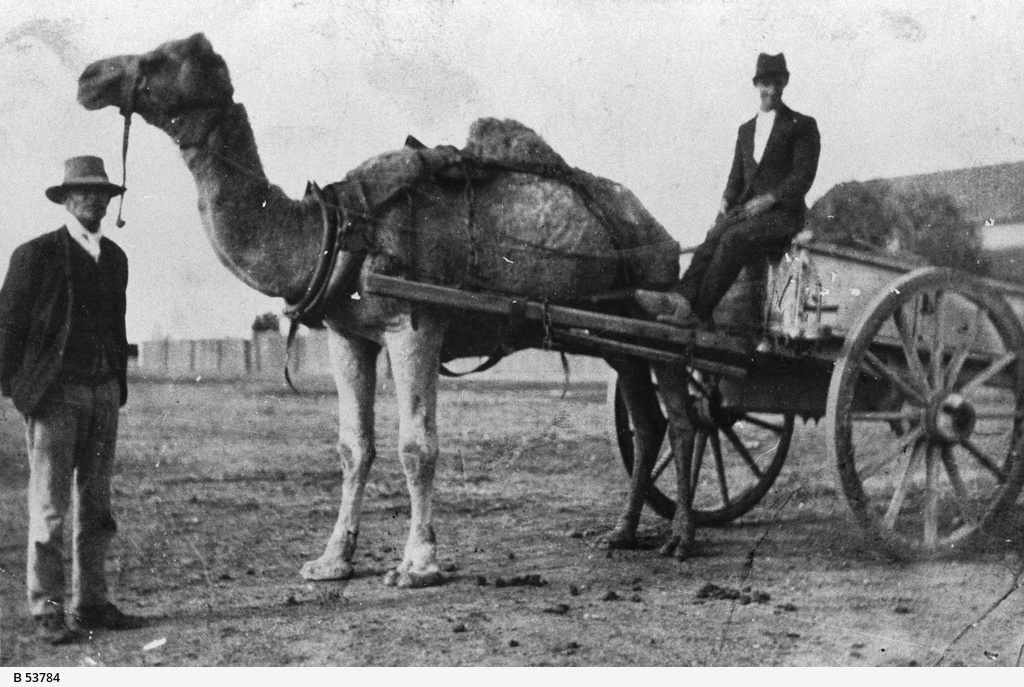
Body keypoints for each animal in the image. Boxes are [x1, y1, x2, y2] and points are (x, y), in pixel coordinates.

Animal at [77, 33, 697, 587]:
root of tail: (658, 231)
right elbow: (354, 448)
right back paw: (622, 533)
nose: (89, 77)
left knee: (686, 416)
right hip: (618, 338)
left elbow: (417, 446)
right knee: (647, 422)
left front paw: (418, 566)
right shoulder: (348, 335)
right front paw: (330, 562)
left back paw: (680, 538)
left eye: (162, 56)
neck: (335, 230)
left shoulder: (414, 324)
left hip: (661, 315)